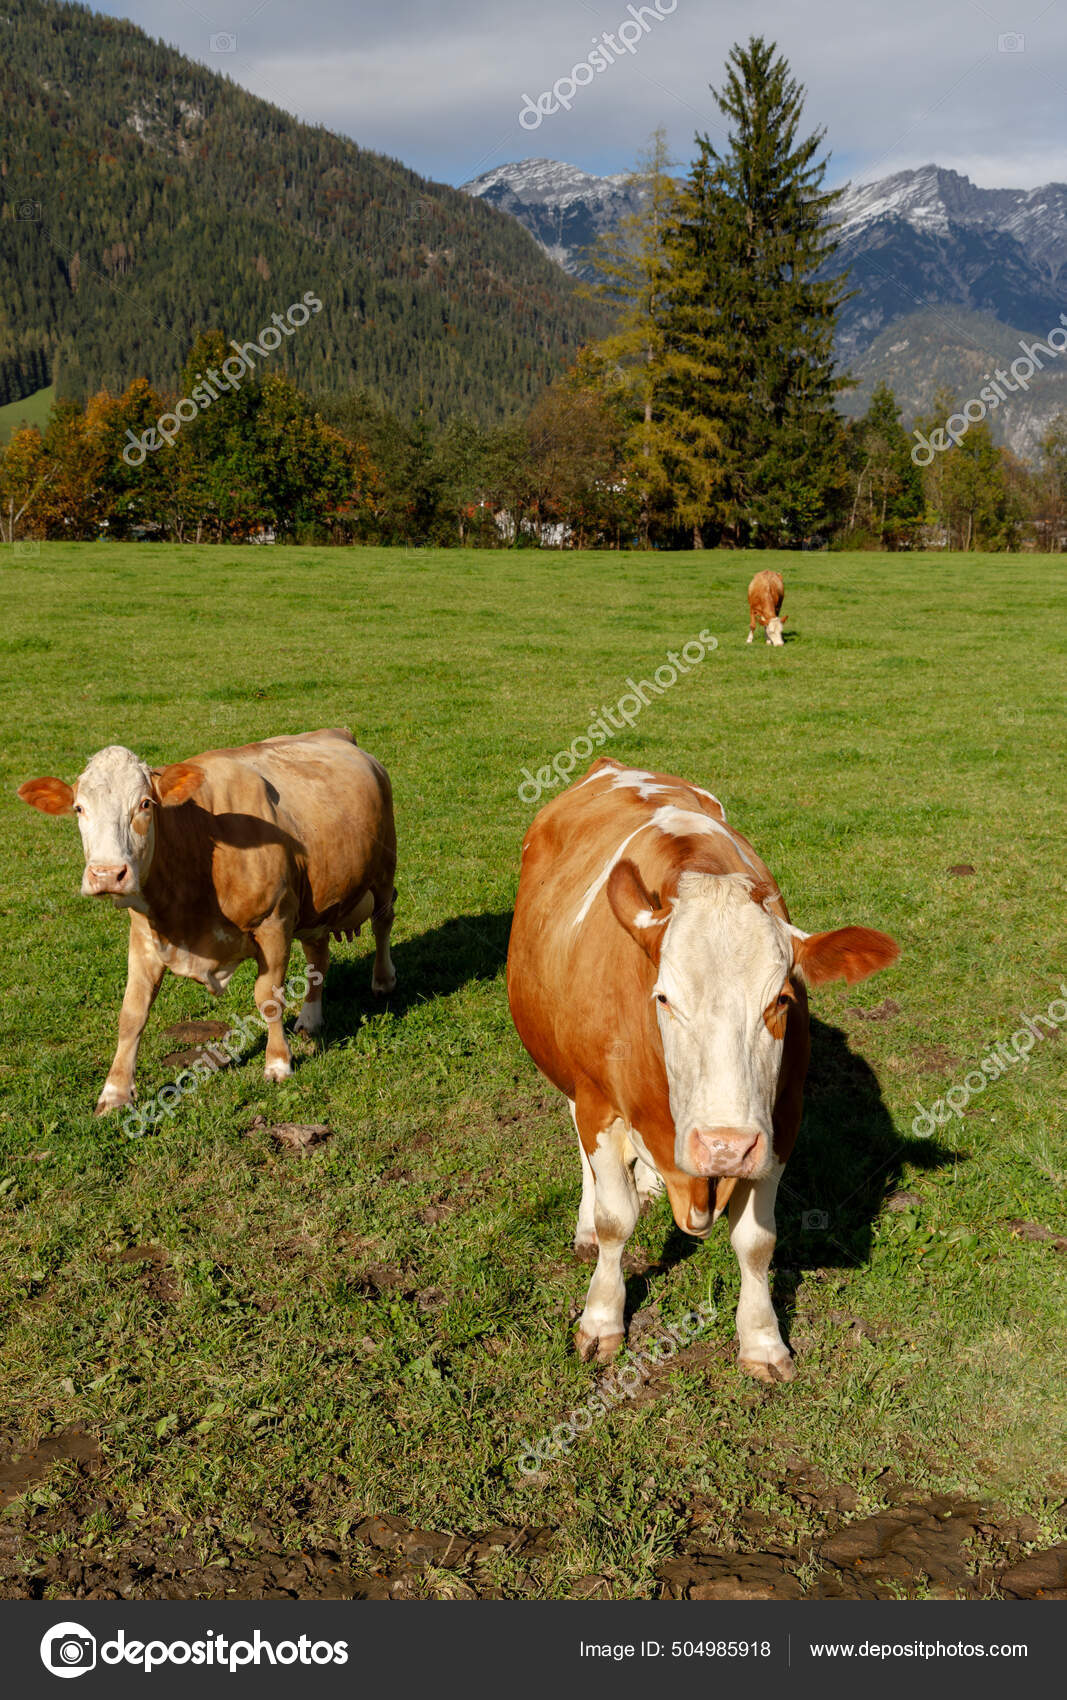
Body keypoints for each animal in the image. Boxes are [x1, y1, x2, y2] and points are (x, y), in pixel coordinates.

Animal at [17, 729, 397, 1115]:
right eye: (79, 808)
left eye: (145, 804)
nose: (108, 874)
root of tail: (338, 734)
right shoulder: (143, 935)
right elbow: (132, 1013)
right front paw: (115, 1092)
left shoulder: (274, 921)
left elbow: (268, 998)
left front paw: (278, 1063)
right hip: (317, 899)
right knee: (318, 955)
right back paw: (310, 1019)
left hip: (384, 869)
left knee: (382, 923)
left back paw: (382, 981)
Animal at [507, 757, 898, 1383]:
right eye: (663, 998)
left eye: (781, 1000)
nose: (724, 1147)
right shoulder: (598, 1102)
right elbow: (617, 1222)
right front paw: (601, 1317)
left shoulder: (780, 1121)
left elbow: (757, 1239)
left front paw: (762, 1340)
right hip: (568, 1076)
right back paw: (589, 1222)